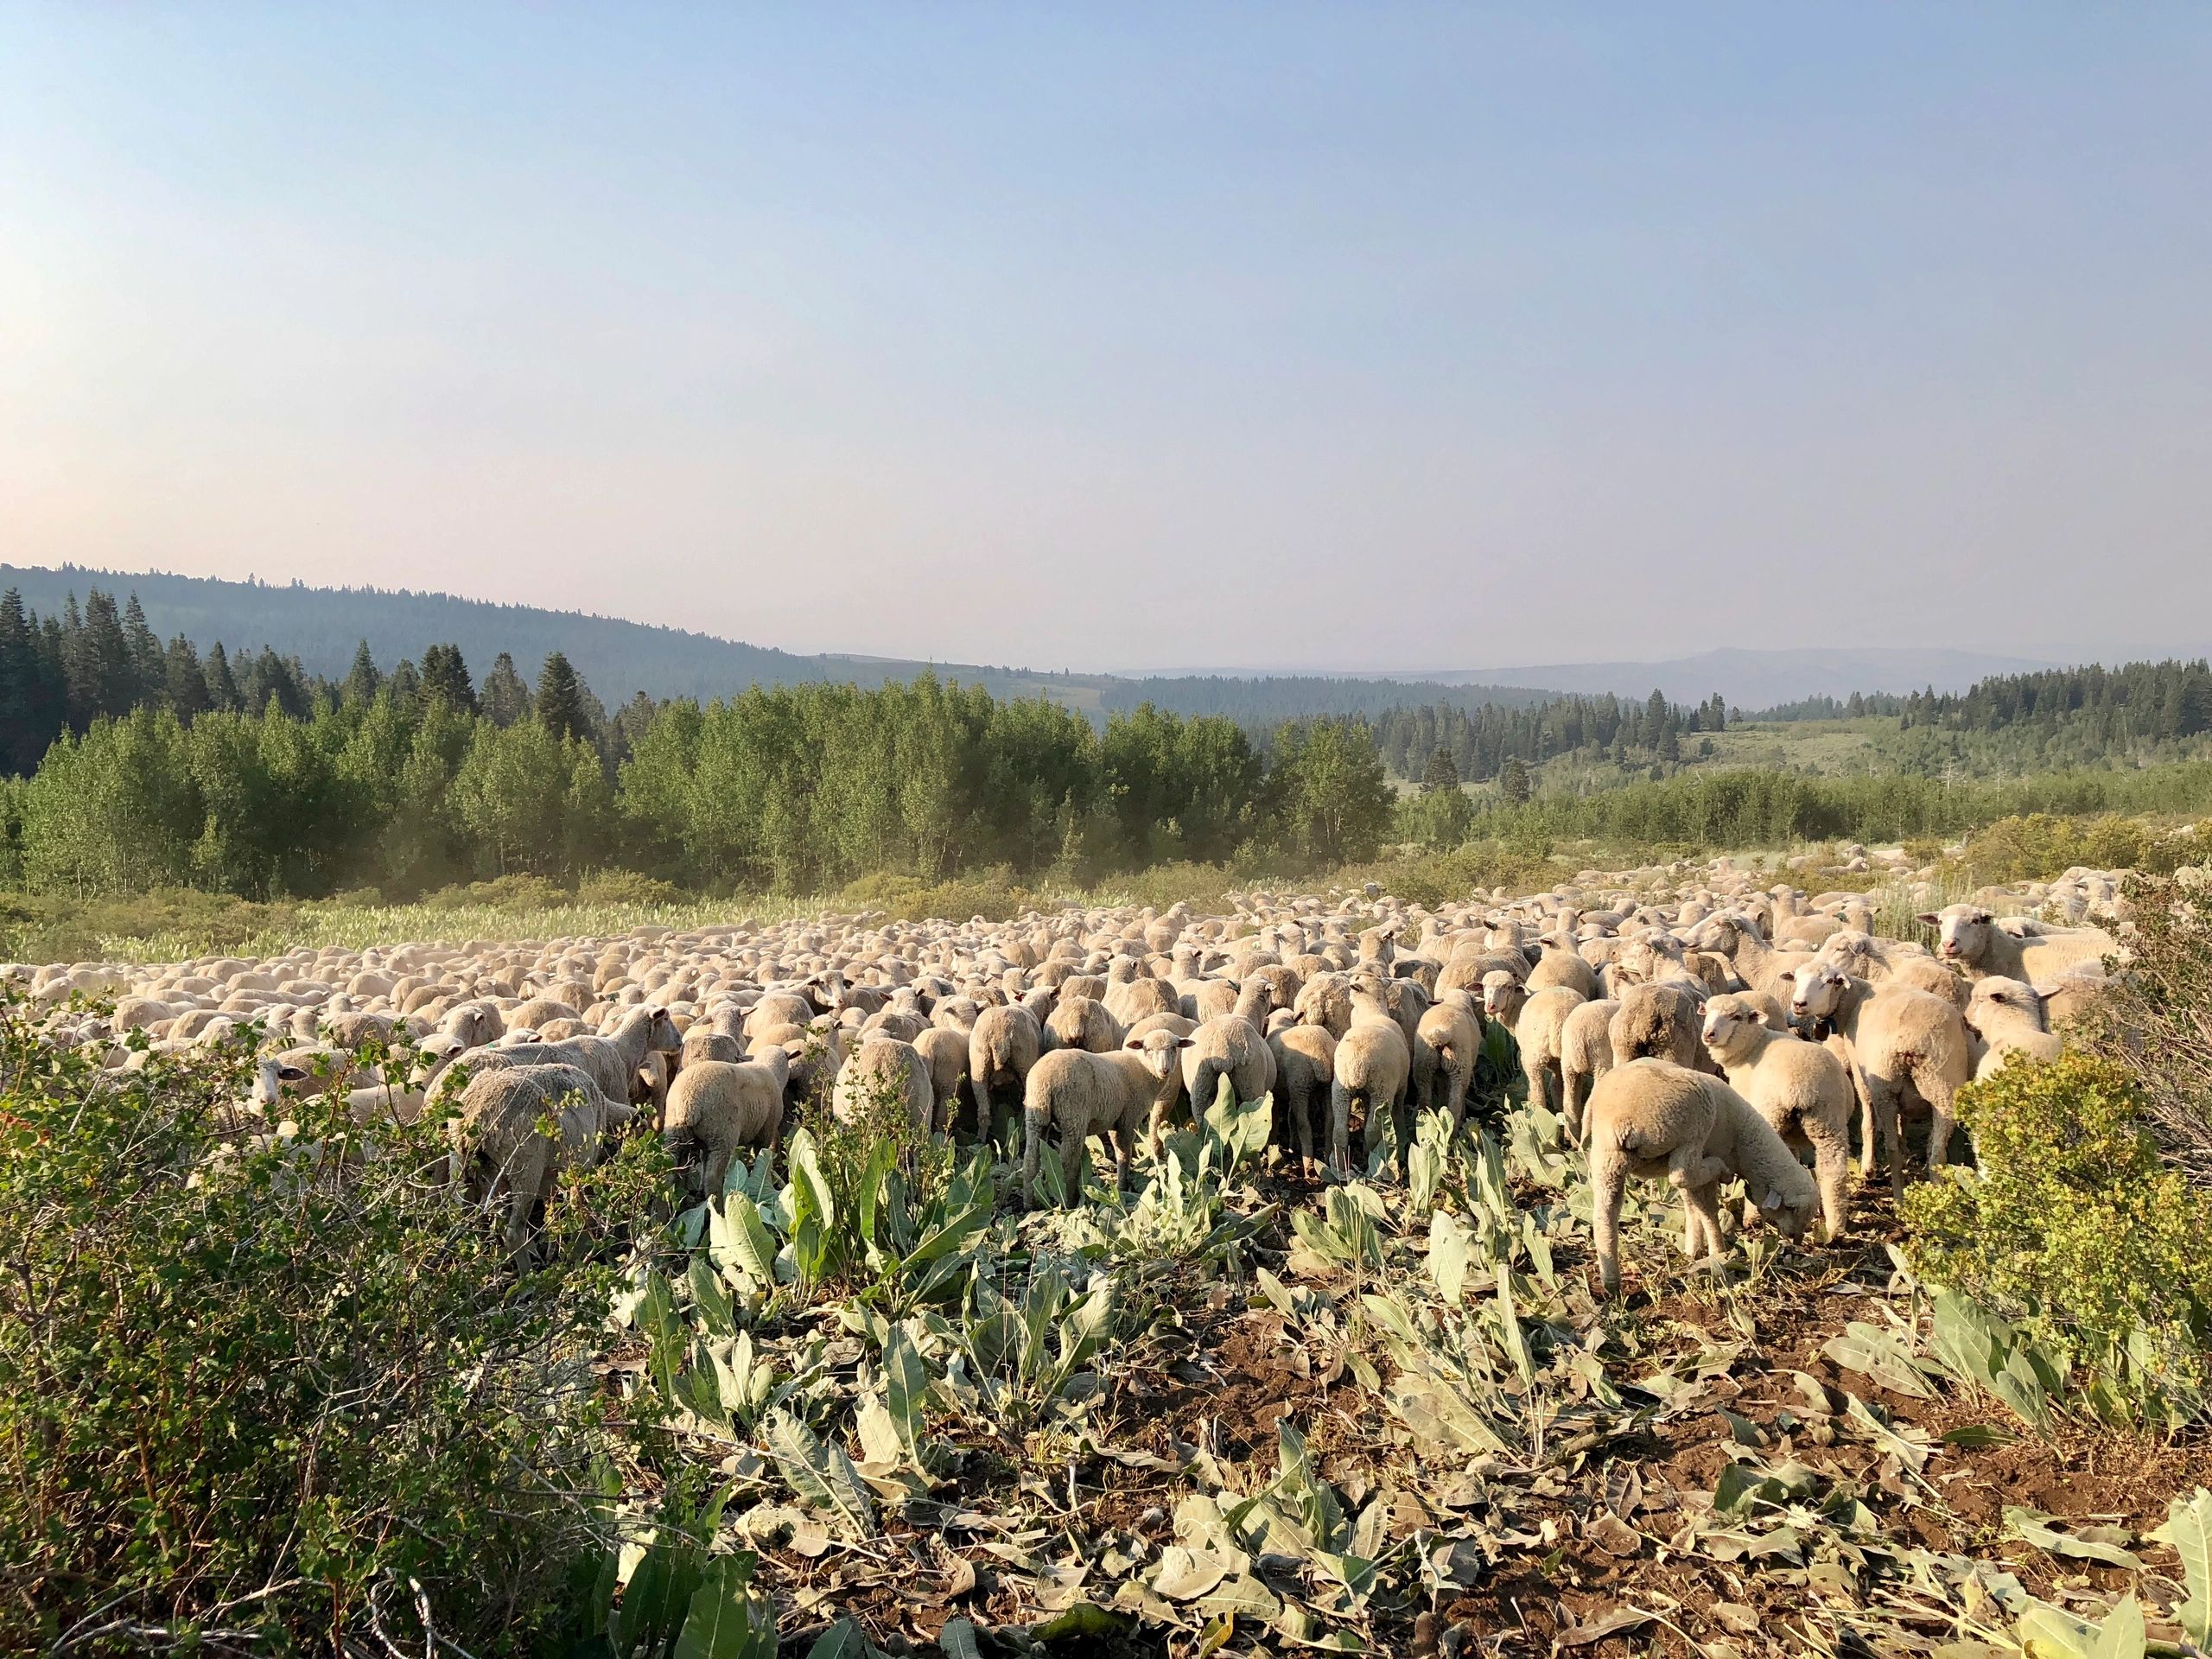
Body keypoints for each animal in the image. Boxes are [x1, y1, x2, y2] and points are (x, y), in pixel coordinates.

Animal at [663, 1051, 791, 1195]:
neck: (771, 1070)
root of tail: (688, 1101)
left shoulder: (706, 1145)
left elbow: (704, 1161)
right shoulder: (765, 1132)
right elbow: (760, 1156)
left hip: (676, 1134)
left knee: (672, 1168)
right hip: (721, 1135)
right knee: (712, 1177)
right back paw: (717, 1199)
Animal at [1021, 1046, 1154, 1207]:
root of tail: (1045, 1079)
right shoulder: (1128, 1120)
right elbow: (1124, 1153)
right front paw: (1122, 1187)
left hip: (1036, 1116)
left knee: (1030, 1158)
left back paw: (1029, 1203)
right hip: (1073, 1115)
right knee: (1068, 1163)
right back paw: (1069, 1201)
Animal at [1586, 1059, 1819, 1297]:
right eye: (1790, 1208)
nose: (1796, 1239)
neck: (1743, 1146)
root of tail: (1621, 1120)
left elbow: (1692, 1206)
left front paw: (1693, 1250)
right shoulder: (1705, 1162)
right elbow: (1707, 1210)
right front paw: (1719, 1253)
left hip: (1606, 1156)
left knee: (1605, 1213)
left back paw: (1612, 1283)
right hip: (1694, 1127)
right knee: (1681, 1174)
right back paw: (1720, 1169)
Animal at [1699, 993, 1853, 1240]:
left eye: (1736, 1017)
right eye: (1708, 1012)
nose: (1709, 1034)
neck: (1753, 1046)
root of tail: (1802, 1086)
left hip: (1772, 1112)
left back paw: (1752, 1217)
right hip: (1829, 1118)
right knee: (1833, 1171)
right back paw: (1835, 1227)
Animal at [1789, 966, 1973, 1193]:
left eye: (1829, 981)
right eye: (1796, 979)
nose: (1798, 1004)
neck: (1854, 1001)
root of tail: (1914, 1042)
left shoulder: (1860, 1069)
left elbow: (1868, 1120)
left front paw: (1868, 1167)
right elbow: (1904, 1119)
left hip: (1885, 1085)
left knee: (1891, 1148)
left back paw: (1898, 1195)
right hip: (1944, 1088)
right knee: (1937, 1153)